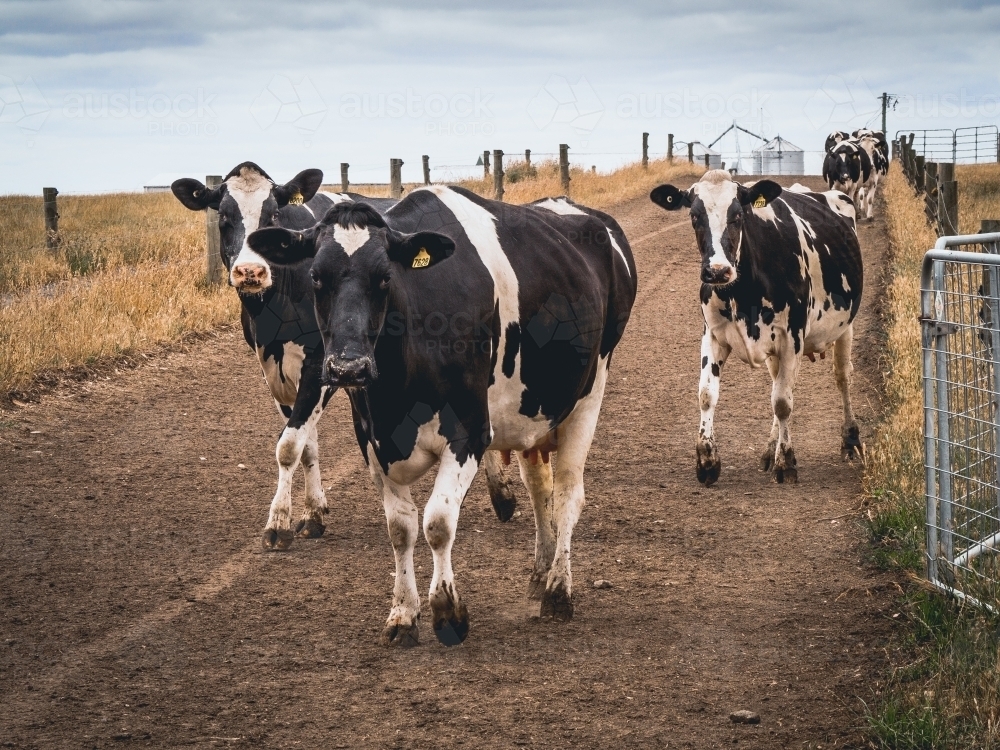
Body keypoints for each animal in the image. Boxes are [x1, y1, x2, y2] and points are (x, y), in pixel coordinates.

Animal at [170, 164, 517, 551]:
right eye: (223, 218)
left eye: (272, 215)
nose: (250, 272)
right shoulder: (274, 372)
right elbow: (304, 444)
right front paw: (313, 514)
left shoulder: (320, 365)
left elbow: (288, 445)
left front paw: (278, 523)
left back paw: (501, 492)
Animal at [245, 185, 637, 646]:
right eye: (316, 277)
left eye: (385, 277)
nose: (348, 367)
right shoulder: (371, 439)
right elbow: (401, 529)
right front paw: (402, 614)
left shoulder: (469, 431)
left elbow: (437, 523)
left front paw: (448, 611)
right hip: (532, 411)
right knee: (540, 488)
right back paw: (540, 574)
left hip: (589, 393)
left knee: (568, 494)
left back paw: (558, 590)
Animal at [649, 170, 863, 486]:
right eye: (694, 215)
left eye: (738, 215)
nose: (717, 271)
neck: (742, 292)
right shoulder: (712, 334)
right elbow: (707, 394)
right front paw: (707, 460)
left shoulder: (792, 338)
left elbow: (783, 402)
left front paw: (786, 462)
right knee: (779, 381)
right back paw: (769, 448)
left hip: (845, 325)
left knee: (842, 377)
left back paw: (850, 440)